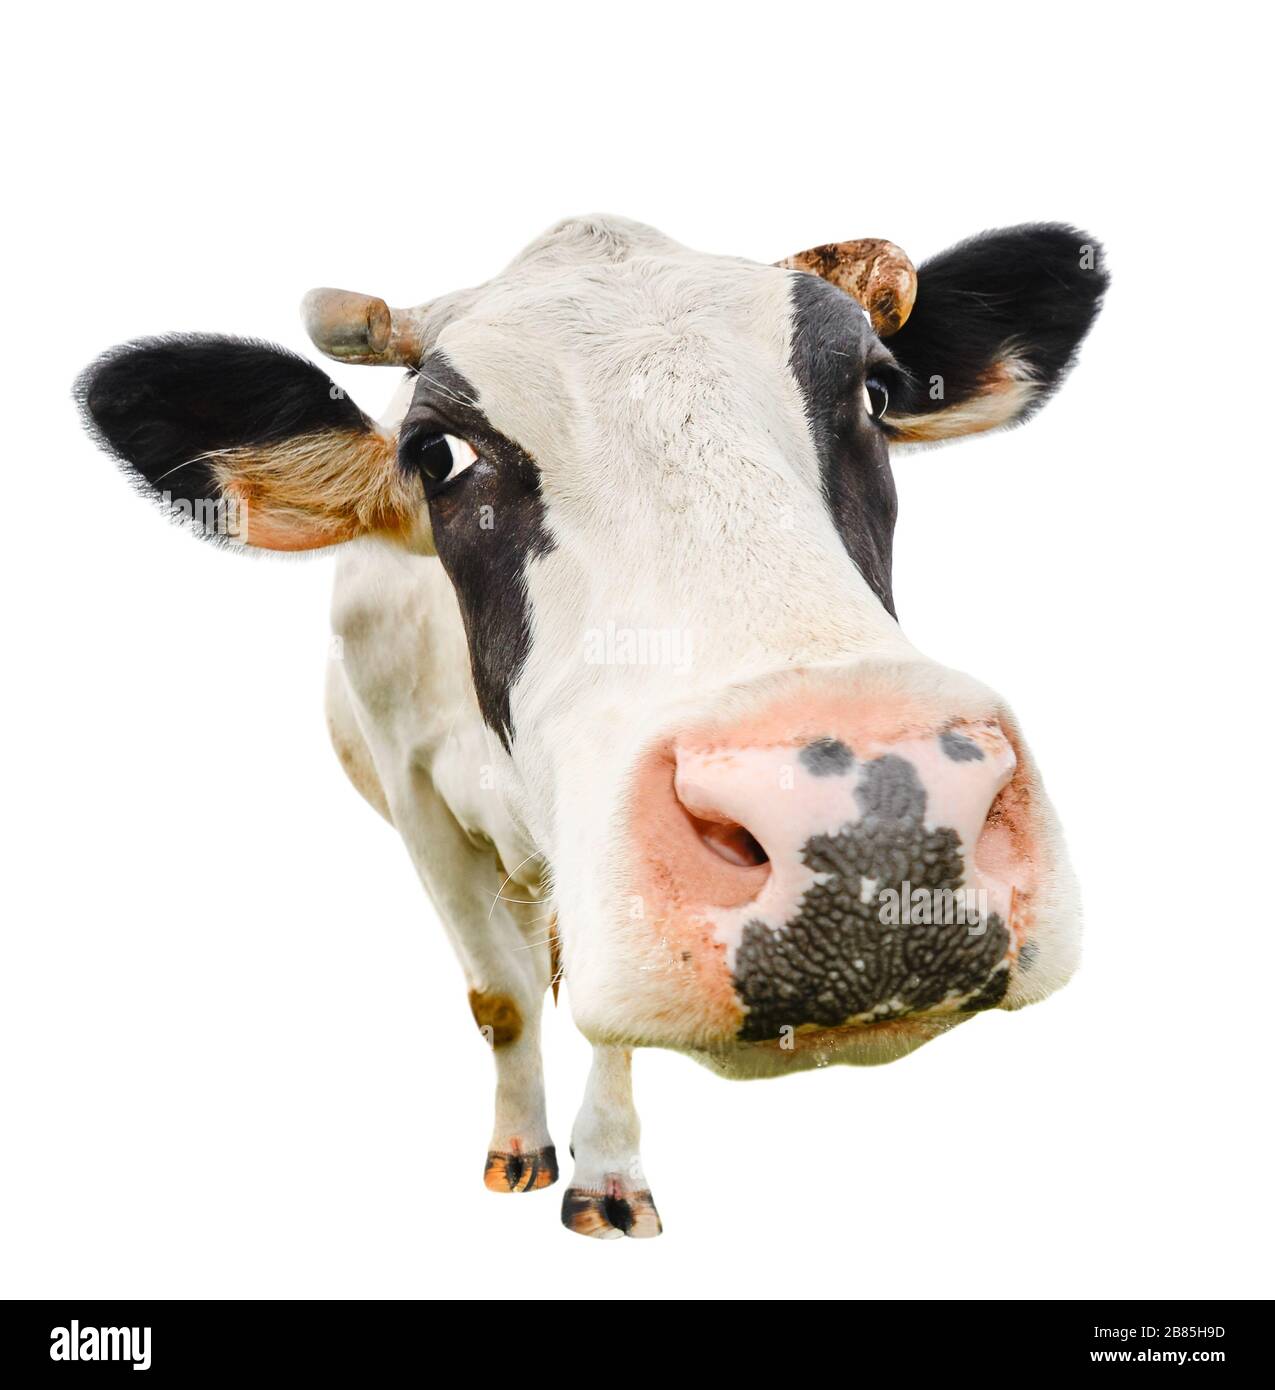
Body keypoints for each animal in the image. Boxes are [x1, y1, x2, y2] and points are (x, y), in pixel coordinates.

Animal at [76, 215, 1106, 1238]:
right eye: (434, 455)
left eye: (876, 390)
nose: (877, 832)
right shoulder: (416, 800)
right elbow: (501, 998)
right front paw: (518, 1150)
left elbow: (601, 1020)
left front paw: (606, 1174)